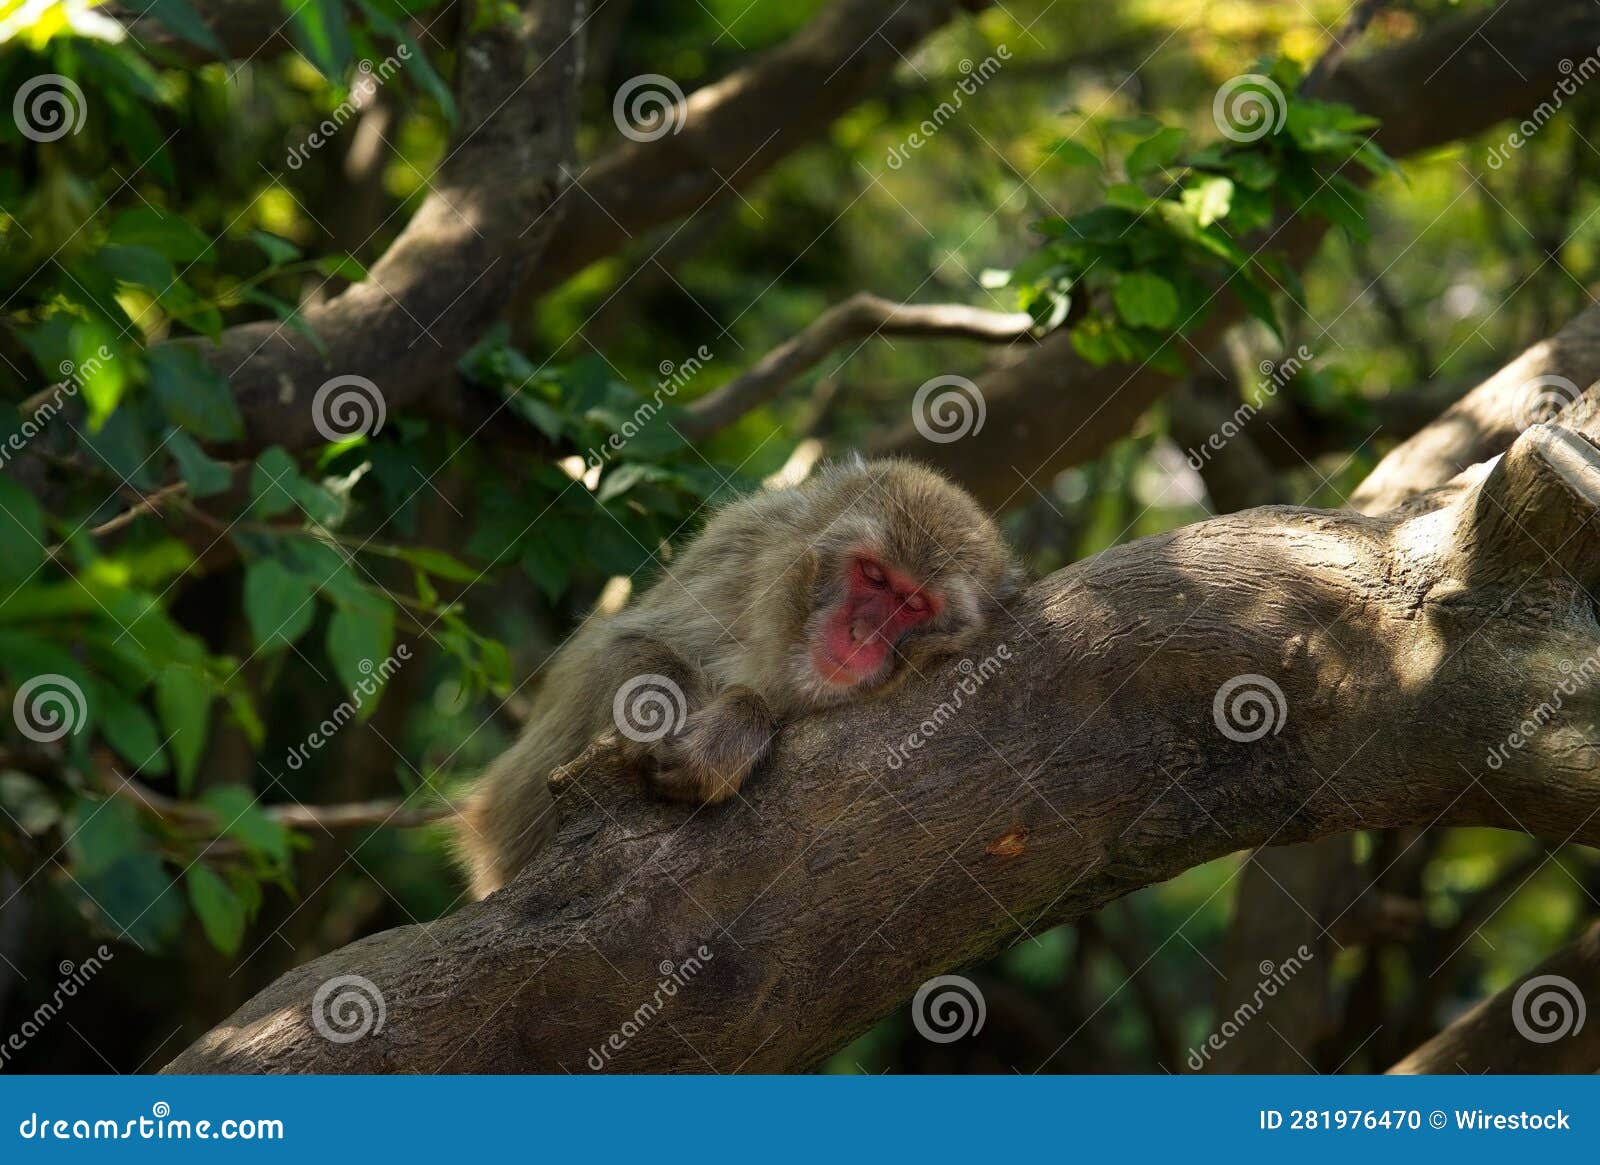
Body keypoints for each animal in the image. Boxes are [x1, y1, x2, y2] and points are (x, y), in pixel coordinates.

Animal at [455, 456, 1020, 898]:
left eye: (913, 604)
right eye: (874, 575)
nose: (861, 634)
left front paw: (732, 731)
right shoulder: (744, 543)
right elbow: (622, 645)